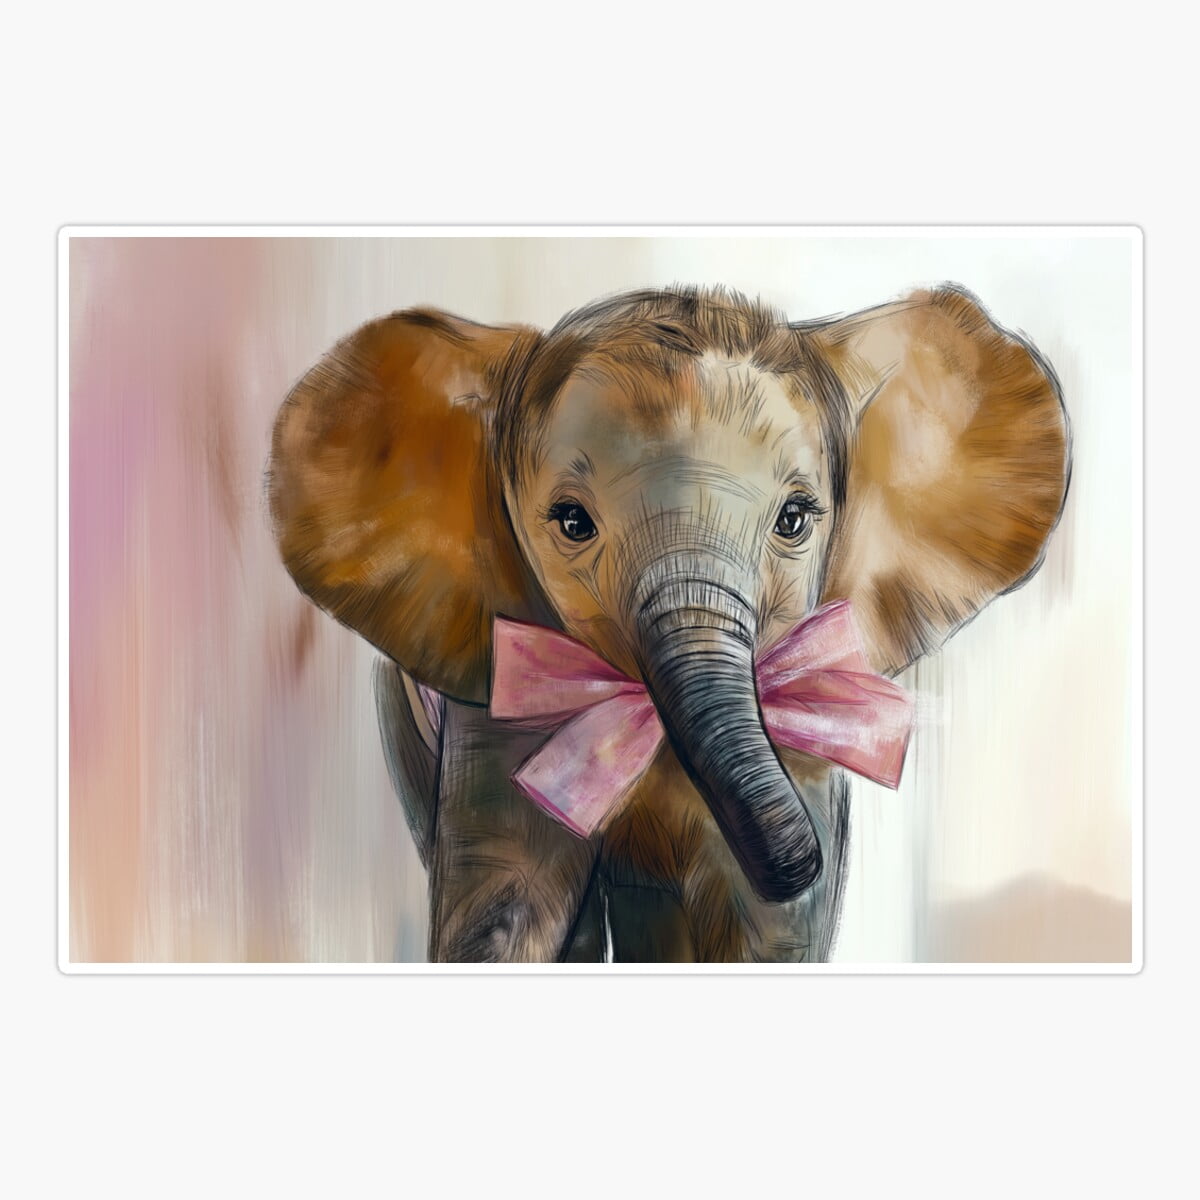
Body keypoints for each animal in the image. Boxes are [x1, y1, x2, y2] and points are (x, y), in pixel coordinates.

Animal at [267, 284, 1070, 964]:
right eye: (571, 521)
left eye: (794, 519)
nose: (800, 858)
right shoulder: (497, 694)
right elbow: (505, 910)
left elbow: (763, 933)